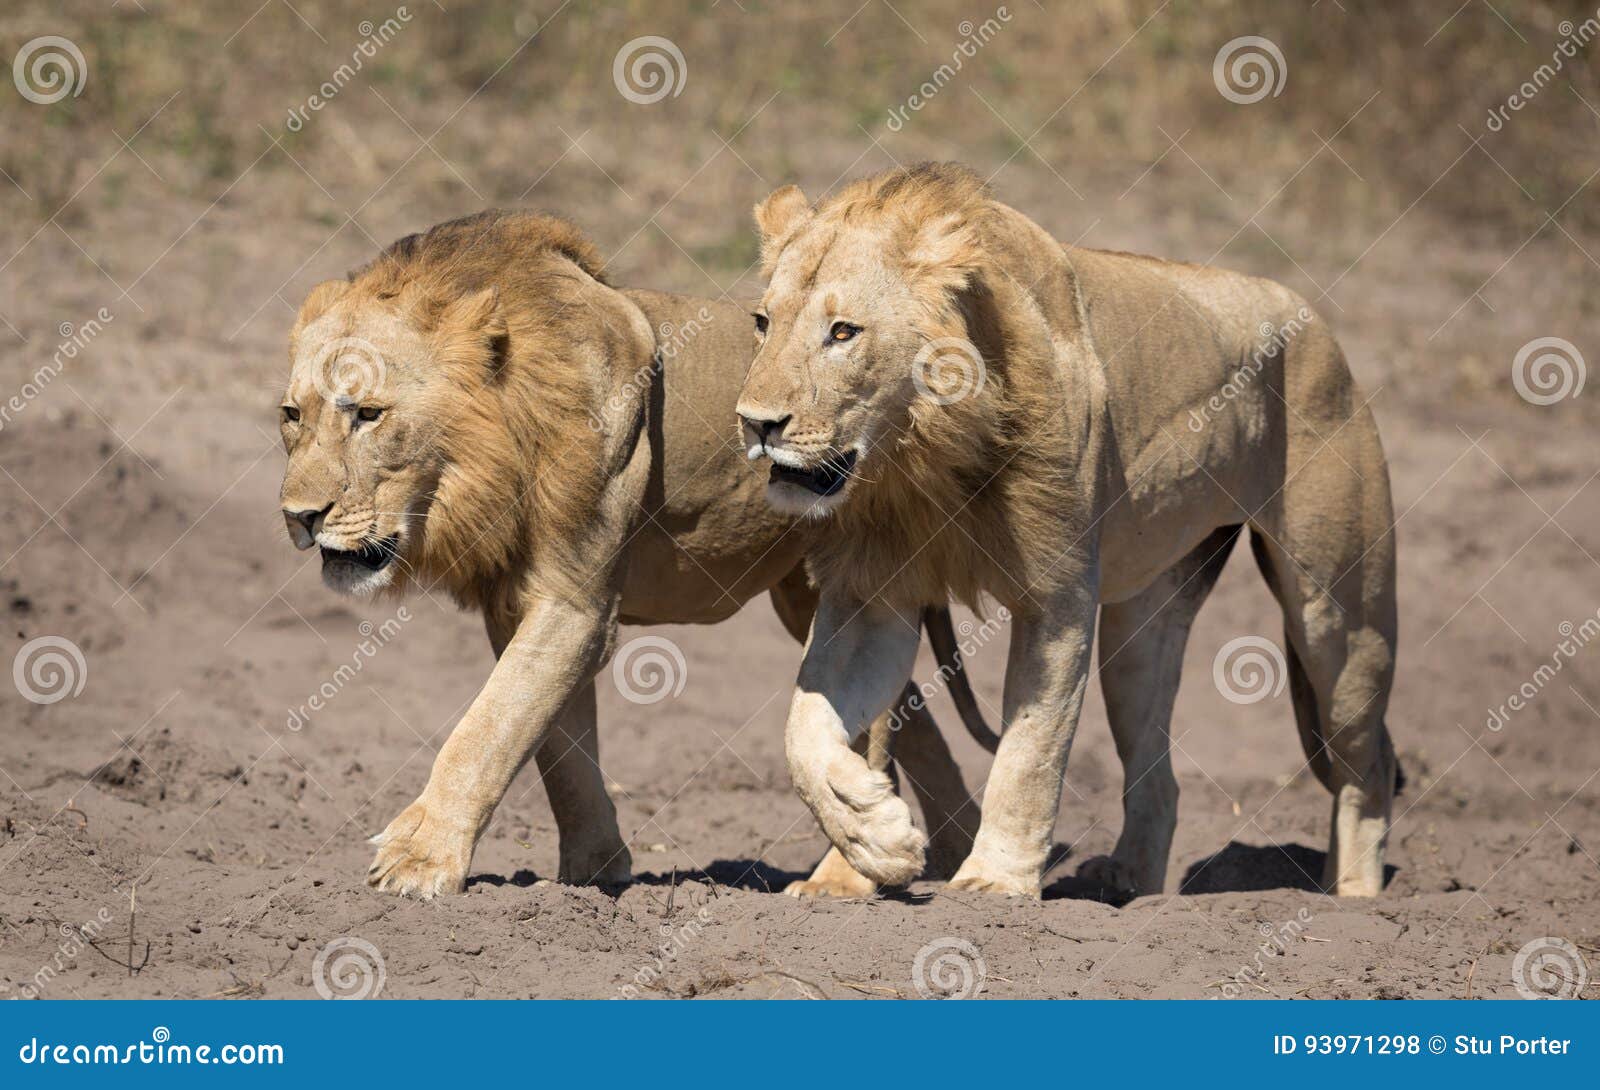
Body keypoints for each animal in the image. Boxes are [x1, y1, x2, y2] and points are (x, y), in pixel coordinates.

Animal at [276, 210, 997, 899]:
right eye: (291, 415)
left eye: (368, 414)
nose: (299, 517)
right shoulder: (518, 604)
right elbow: (556, 745)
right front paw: (593, 873)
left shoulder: (575, 601)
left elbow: (488, 729)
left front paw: (419, 862)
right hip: (808, 594)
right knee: (902, 706)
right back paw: (935, 851)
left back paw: (847, 878)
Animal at [736, 163, 1399, 899]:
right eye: (763, 323)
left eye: (844, 332)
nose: (755, 423)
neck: (923, 457)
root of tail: (1316, 323)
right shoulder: (871, 596)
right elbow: (805, 725)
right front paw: (867, 847)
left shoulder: (1057, 599)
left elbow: (1030, 749)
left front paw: (993, 883)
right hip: (1140, 630)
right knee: (1161, 779)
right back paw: (1130, 889)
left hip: (1337, 615)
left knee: (1367, 765)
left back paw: (1355, 899)